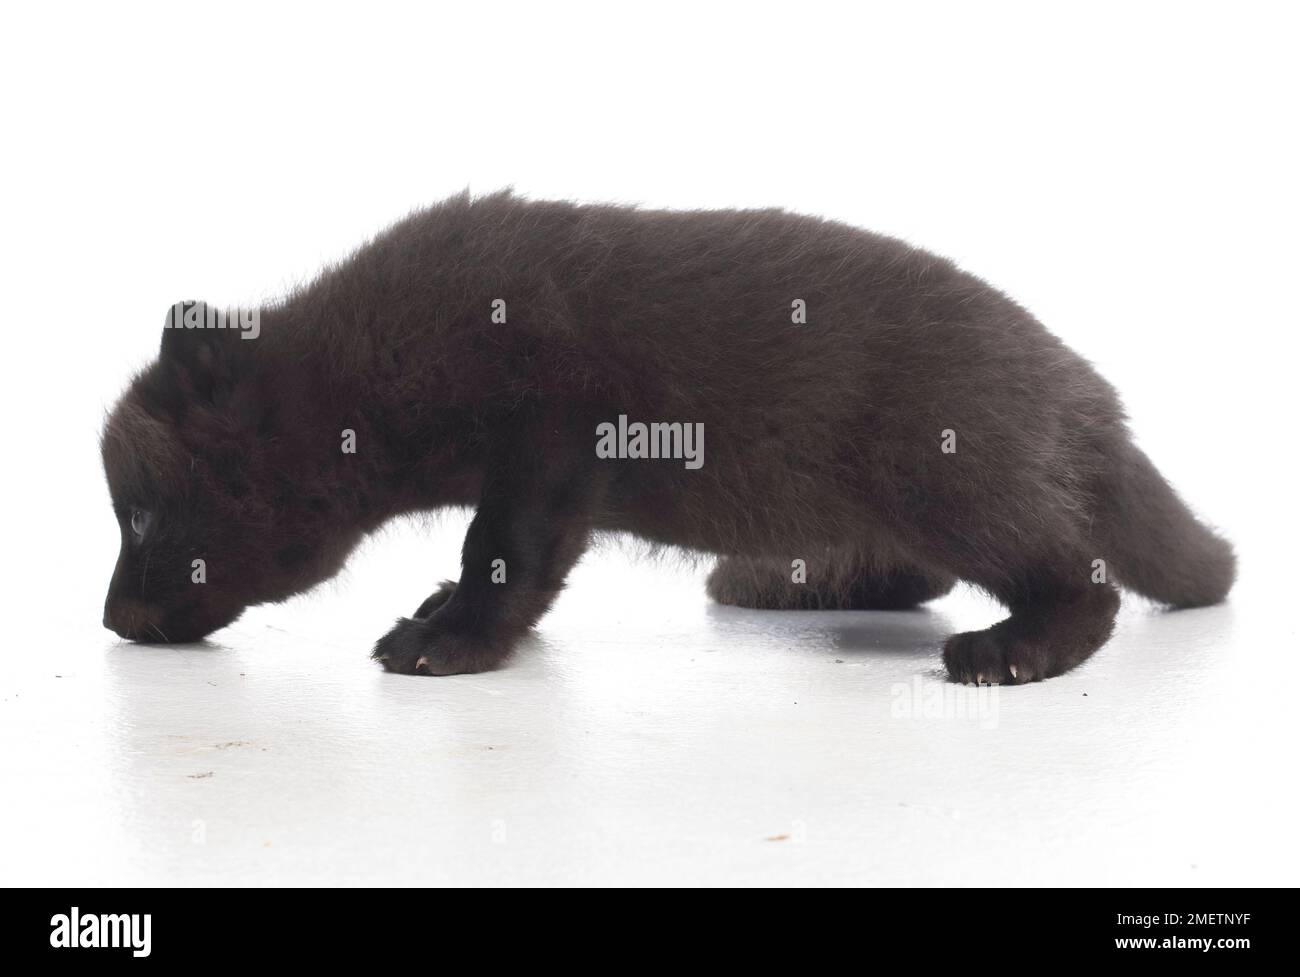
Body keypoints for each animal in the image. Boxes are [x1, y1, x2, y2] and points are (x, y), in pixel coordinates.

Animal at [101, 190, 1235, 683]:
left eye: (141, 514)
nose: (111, 618)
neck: (375, 348)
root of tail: (1083, 388)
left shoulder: (550, 443)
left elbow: (499, 555)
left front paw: (445, 640)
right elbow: (511, 565)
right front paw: (441, 615)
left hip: (941, 475)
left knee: (1082, 580)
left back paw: (1009, 649)